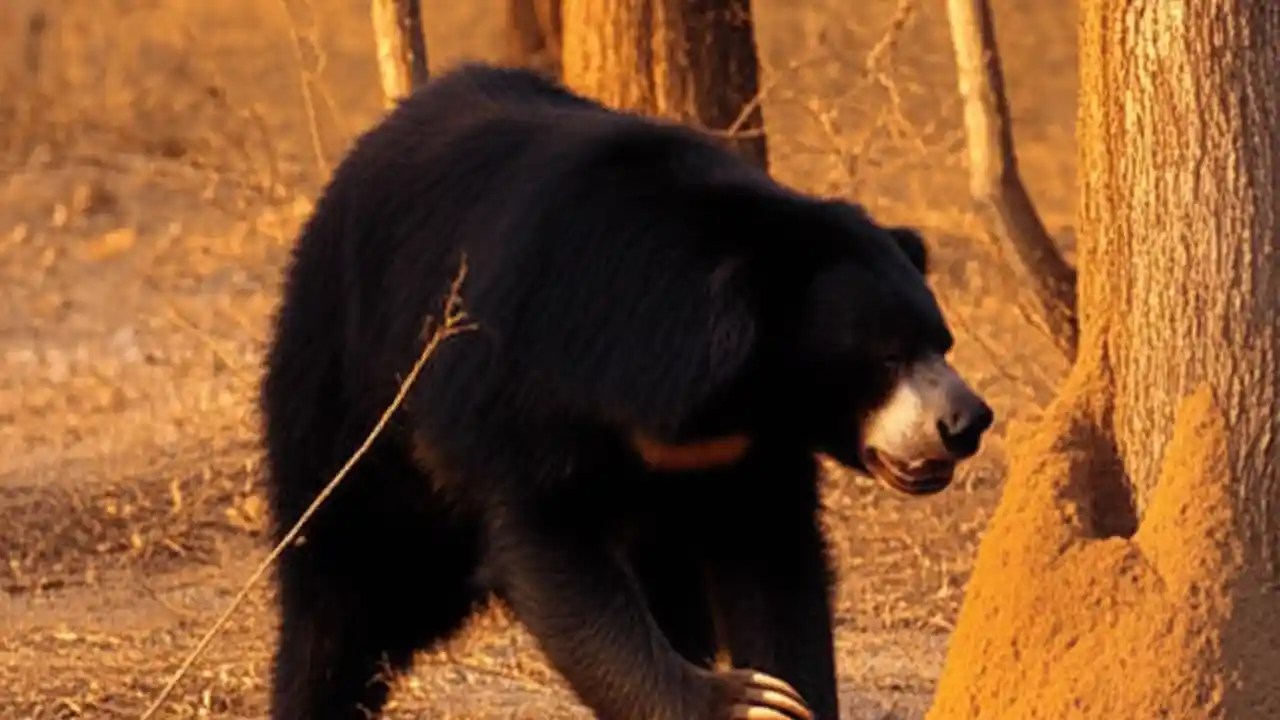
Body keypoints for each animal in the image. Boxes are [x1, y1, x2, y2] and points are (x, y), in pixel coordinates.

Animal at [260, 63, 993, 720]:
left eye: (943, 343)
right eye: (886, 356)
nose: (968, 422)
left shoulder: (746, 454)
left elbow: (776, 565)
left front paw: (787, 695)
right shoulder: (529, 378)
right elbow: (554, 546)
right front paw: (740, 700)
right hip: (352, 391)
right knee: (344, 586)